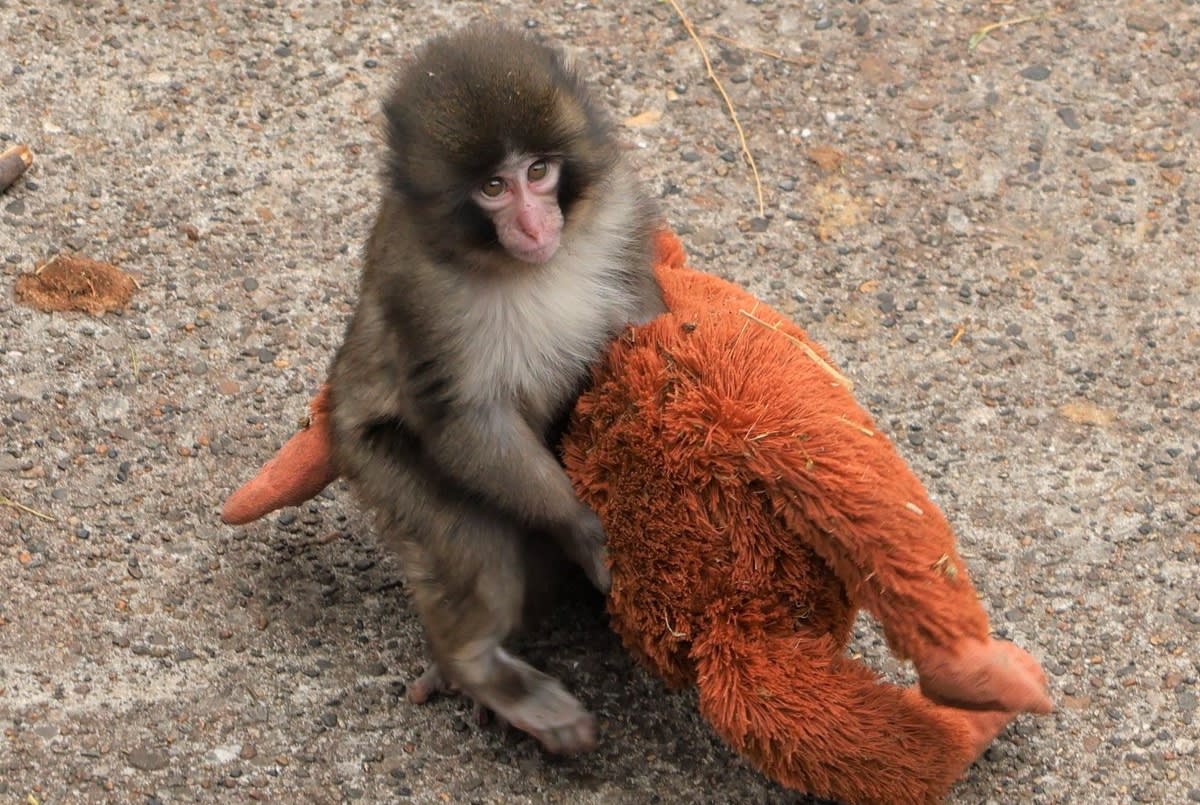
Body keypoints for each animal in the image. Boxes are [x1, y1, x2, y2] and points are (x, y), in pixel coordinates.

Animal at [326, 26, 665, 755]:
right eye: (492, 186)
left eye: (538, 172)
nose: (535, 227)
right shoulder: (421, 290)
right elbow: (464, 418)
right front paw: (582, 527)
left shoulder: (619, 215)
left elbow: (645, 322)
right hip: (373, 460)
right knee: (476, 543)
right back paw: (478, 668)